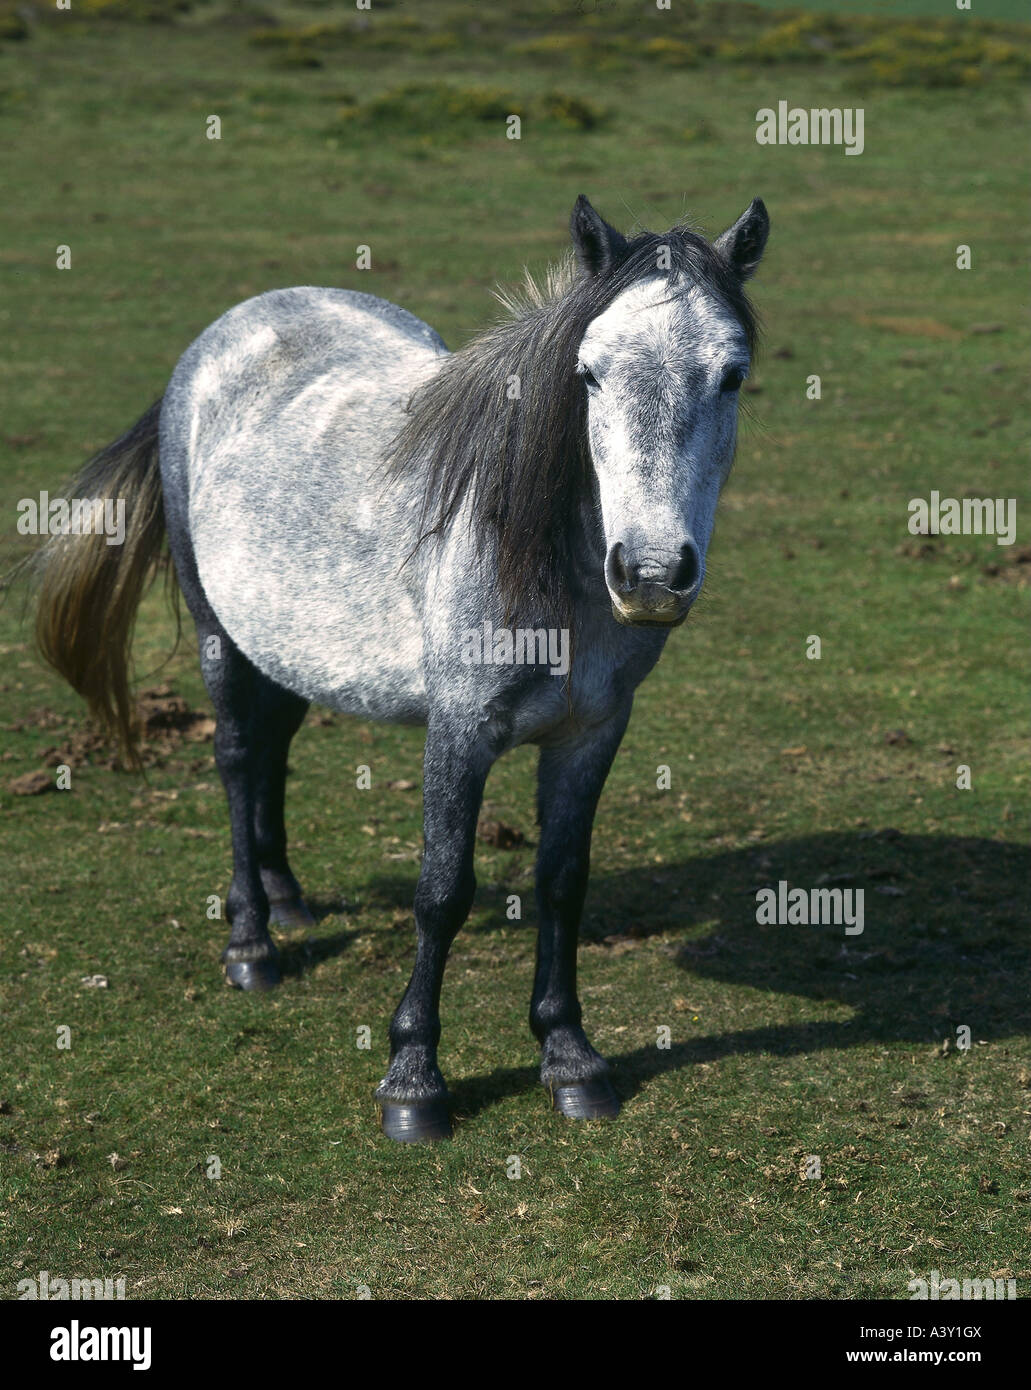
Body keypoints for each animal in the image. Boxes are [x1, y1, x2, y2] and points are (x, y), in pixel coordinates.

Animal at [32, 195, 769, 1142]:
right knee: (236, 759)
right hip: (214, 629)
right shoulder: (459, 729)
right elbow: (441, 891)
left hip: (290, 643)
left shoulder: (594, 730)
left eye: (732, 376)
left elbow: (562, 883)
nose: (646, 573)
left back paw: (288, 900)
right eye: (590, 374)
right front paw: (413, 1079)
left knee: (272, 751)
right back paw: (251, 944)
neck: (543, 564)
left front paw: (571, 1058)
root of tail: (235, 326)